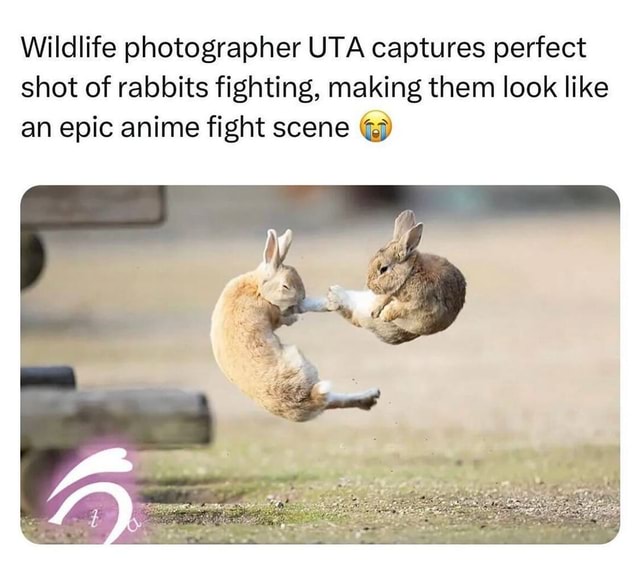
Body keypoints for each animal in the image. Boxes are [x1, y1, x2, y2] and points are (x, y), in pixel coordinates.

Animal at [210, 228, 380, 422]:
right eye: (285, 286)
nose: (300, 298)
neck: (258, 288)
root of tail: (307, 399)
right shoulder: (276, 313)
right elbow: (288, 315)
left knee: (333, 401)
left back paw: (370, 397)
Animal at [327, 210, 466, 345]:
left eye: (383, 269)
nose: (369, 286)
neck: (409, 274)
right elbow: (386, 298)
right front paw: (376, 310)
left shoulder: (420, 304)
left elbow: (401, 308)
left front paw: (384, 315)